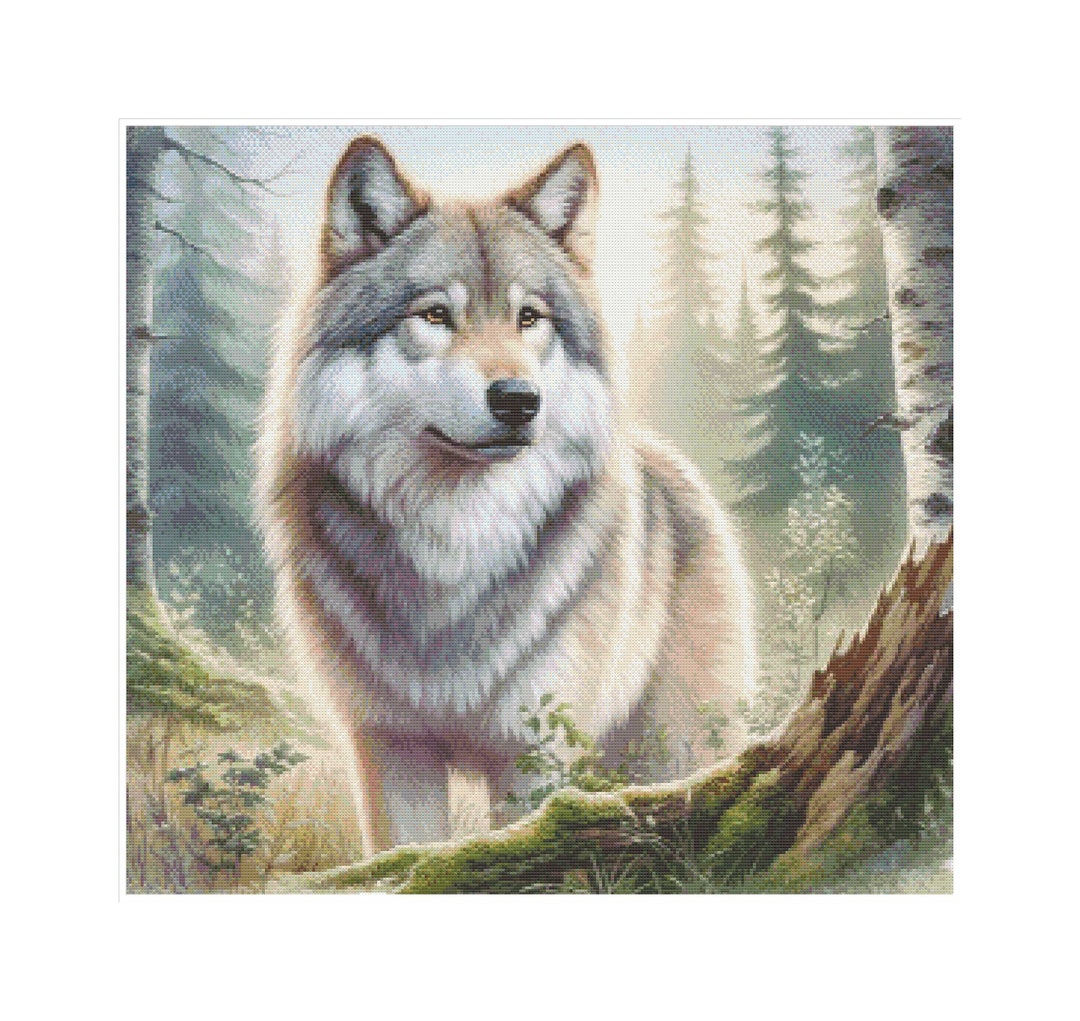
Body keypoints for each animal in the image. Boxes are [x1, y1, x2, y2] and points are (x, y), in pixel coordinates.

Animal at [257, 136, 756, 855]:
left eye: (529, 318)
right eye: (435, 314)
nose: (519, 399)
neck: (453, 543)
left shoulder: (533, 749)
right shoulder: (389, 743)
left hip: (676, 743)